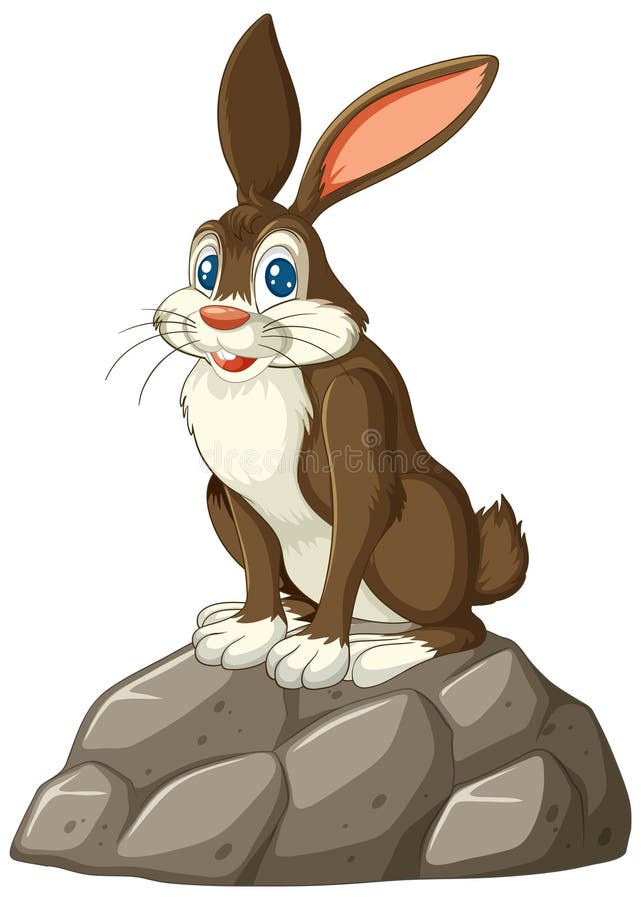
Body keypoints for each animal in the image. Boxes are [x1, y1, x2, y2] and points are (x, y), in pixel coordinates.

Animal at [151, 15, 528, 689]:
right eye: (205, 268)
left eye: (279, 276)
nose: (220, 317)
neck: (265, 374)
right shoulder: (233, 490)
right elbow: (257, 560)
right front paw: (248, 631)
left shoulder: (355, 422)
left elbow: (353, 534)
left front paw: (317, 654)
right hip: (215, 497)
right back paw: (257, 615)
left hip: (424, 527)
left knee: (461, 628)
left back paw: (381, 651)